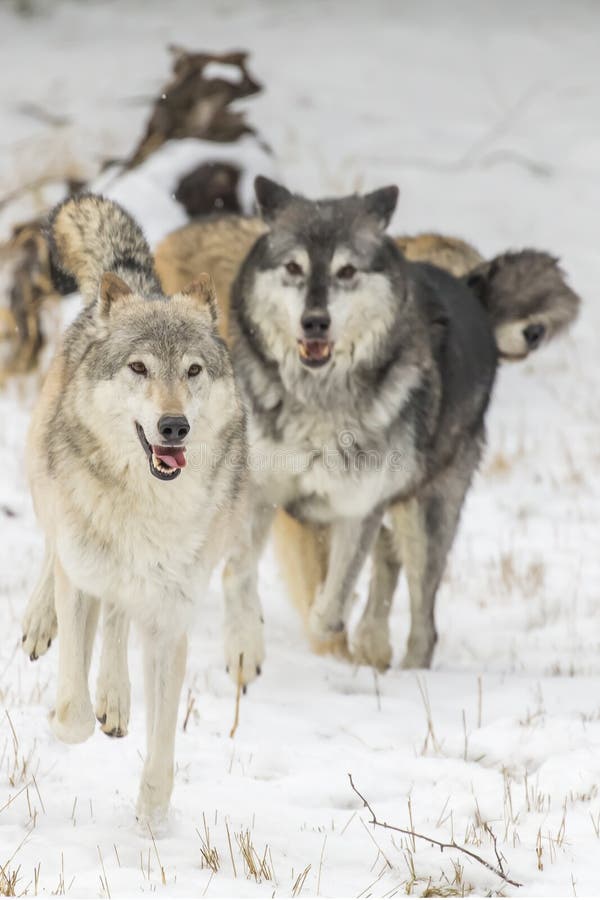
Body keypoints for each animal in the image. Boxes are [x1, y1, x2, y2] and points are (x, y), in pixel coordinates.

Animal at [21, 194, 264, 823]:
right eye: (139, 368)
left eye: (193, 370)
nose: (174, 426)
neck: (145, 509)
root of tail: (136, 284)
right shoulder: (80, 579)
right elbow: (73, 715)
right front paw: (63, 718)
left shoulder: (170, 618)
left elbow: (162, 743)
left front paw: (152, 818)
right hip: (47, 488)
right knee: (54, 552)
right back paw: (38, 625)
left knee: (117, 617)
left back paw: (115, 697)